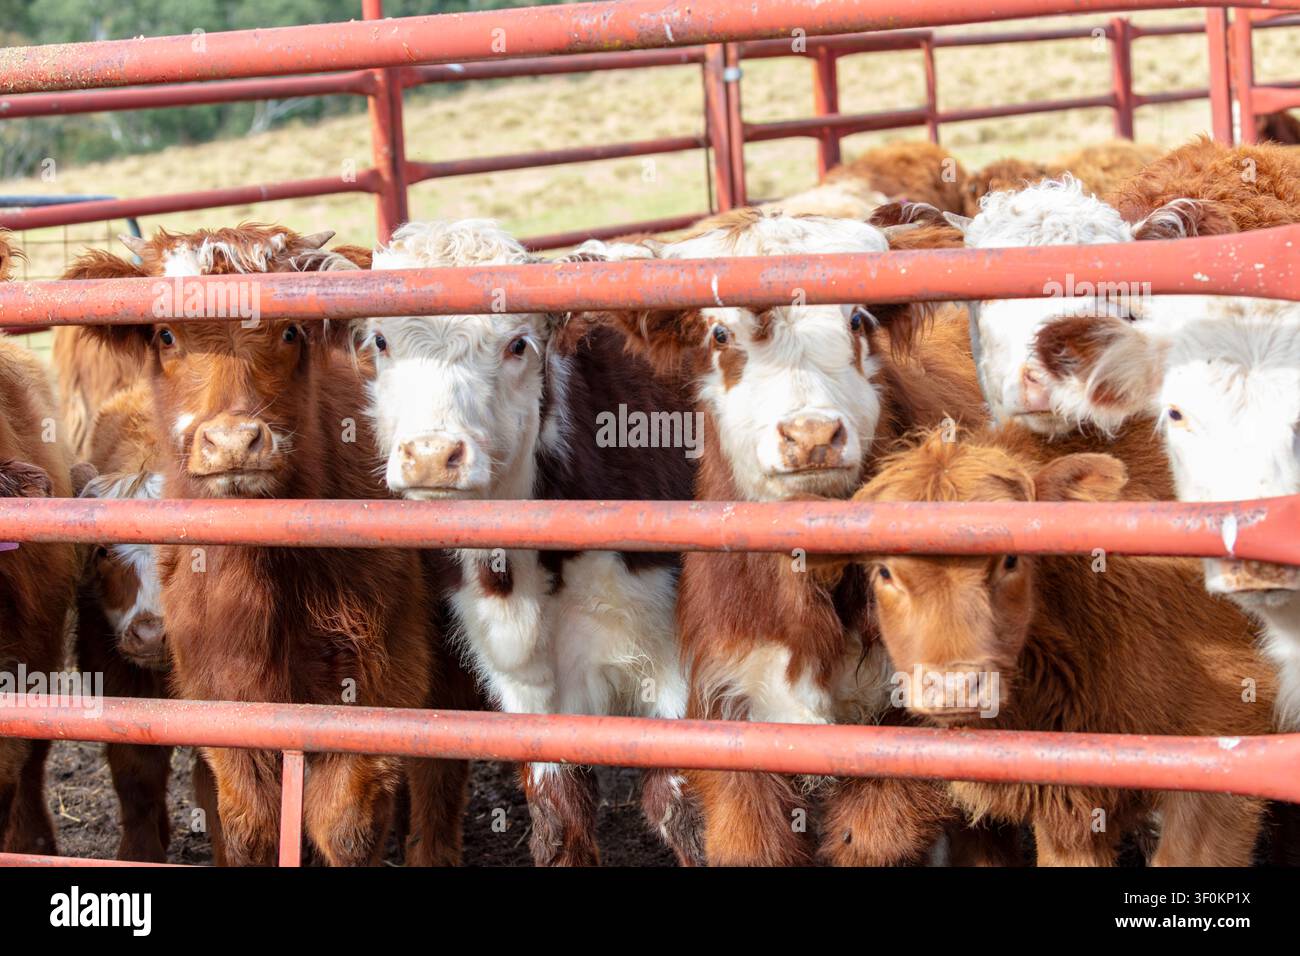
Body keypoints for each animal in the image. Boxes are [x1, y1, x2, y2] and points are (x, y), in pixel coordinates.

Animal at [75, 224, 469, 866]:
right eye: (166, 335)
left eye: (289, 331)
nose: (234, 441)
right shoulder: (221, 693)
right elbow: (244, 822)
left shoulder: (377, 680)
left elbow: (348, 823)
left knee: (440, 772)